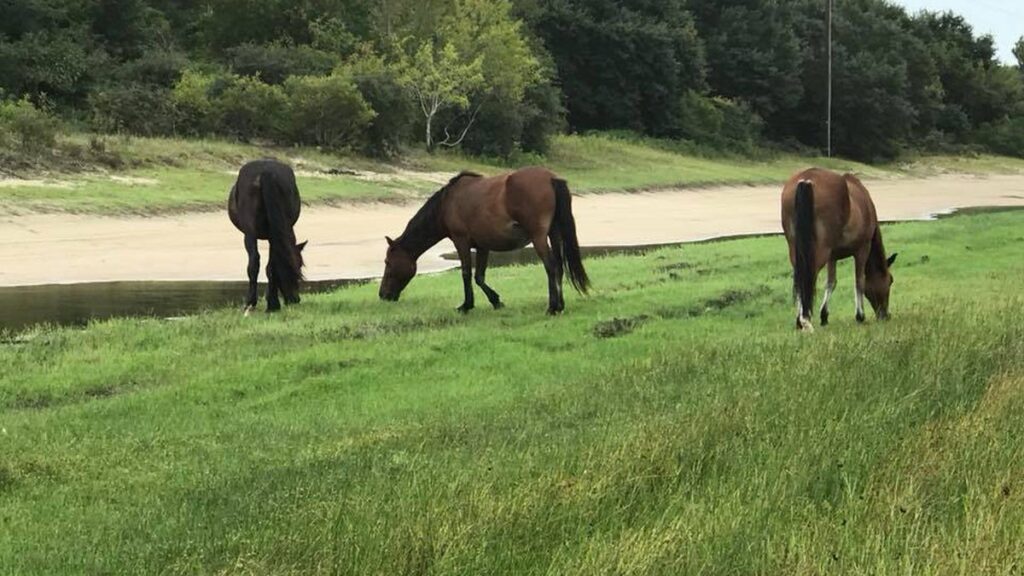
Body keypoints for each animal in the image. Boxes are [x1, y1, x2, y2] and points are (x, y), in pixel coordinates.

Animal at [227, 159, 307, 314]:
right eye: (299, 266)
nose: (295, 299)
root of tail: (265, 173)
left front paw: (271, 303)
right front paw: (273, 304)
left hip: (250, 232)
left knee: (254, 261)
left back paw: (251, 303)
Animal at [379, 167, 590, 314]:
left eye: (388, 262)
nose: (382, 295)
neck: (446, 204)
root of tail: (551, 178)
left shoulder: (461, 241)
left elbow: (466, 273)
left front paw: (466, 305)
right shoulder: (482, 246)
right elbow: (479, 276)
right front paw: (496, 301)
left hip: (539, 237)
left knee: (551, 267)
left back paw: (552, 307)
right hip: (554, 233)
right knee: (559, 267)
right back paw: (560, 306)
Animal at [781, 168, 897, 331]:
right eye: (890, 280)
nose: (885, 315)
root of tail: (806, 180)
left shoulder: (833, 256)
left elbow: (831, 282)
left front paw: (824, 316)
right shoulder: (862, 249)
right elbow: (859, 281)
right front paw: (860, 316)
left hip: (796, 249)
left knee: (799, 277)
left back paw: (800, 321)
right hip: (819, 251)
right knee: (808, 275)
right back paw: (805, 320)